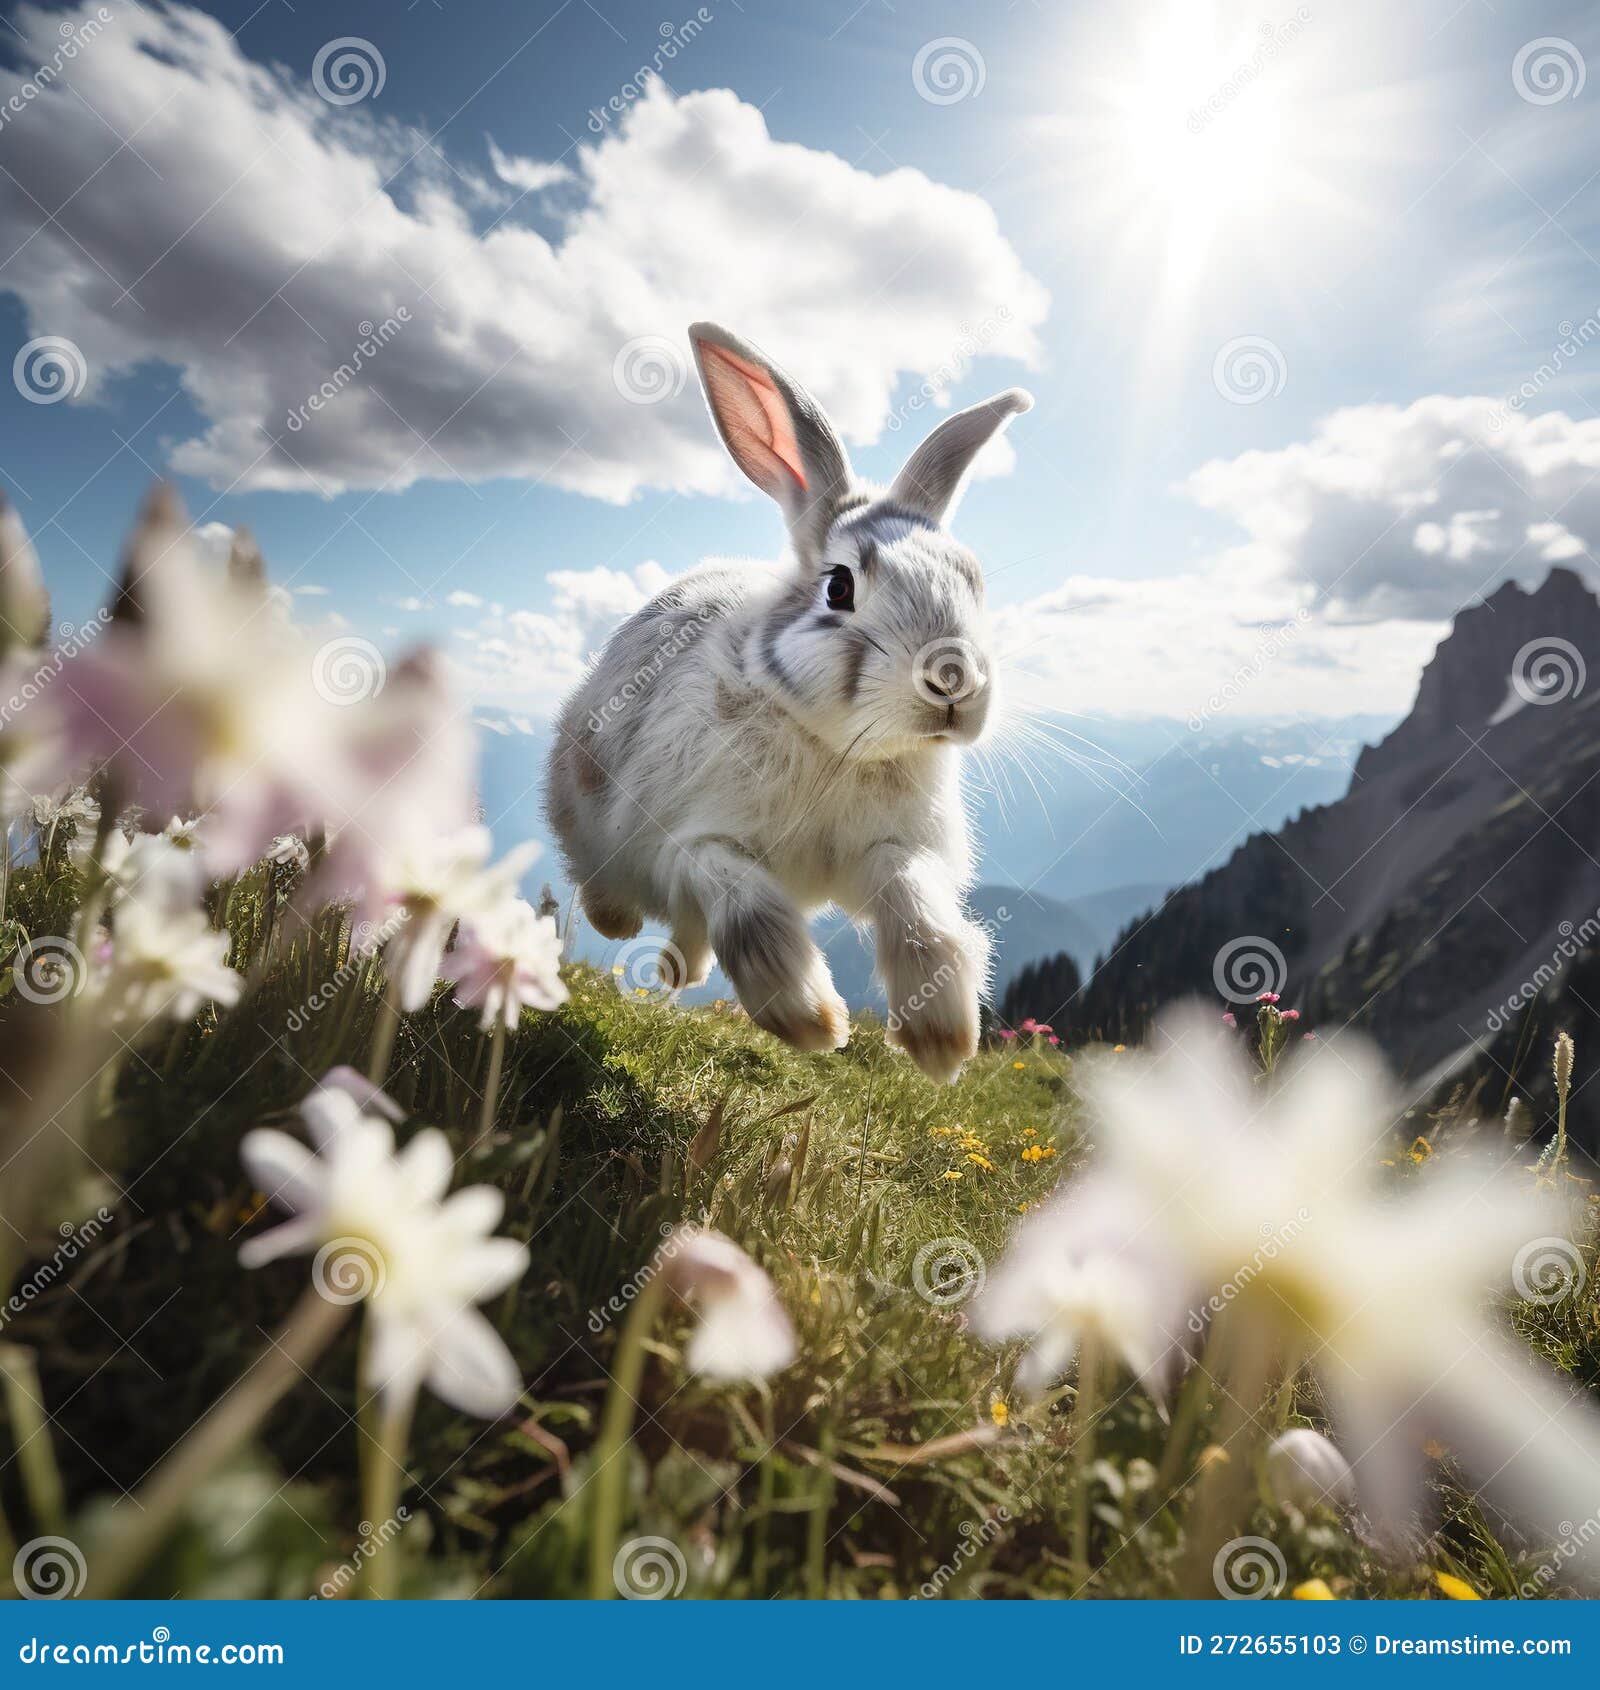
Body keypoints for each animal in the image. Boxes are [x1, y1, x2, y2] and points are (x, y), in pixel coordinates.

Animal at [545, 321, 1031, 1082]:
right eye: (840, 586)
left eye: (972, 580)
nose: (954, 679)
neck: (834, 743)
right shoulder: (694, 843)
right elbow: (747, 912)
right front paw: (813, 1023)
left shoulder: (893, 848)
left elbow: (917, 908)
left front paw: (943, 1038)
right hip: (587, 803)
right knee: (606, 880)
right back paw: (618, 924)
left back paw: (679, 973)